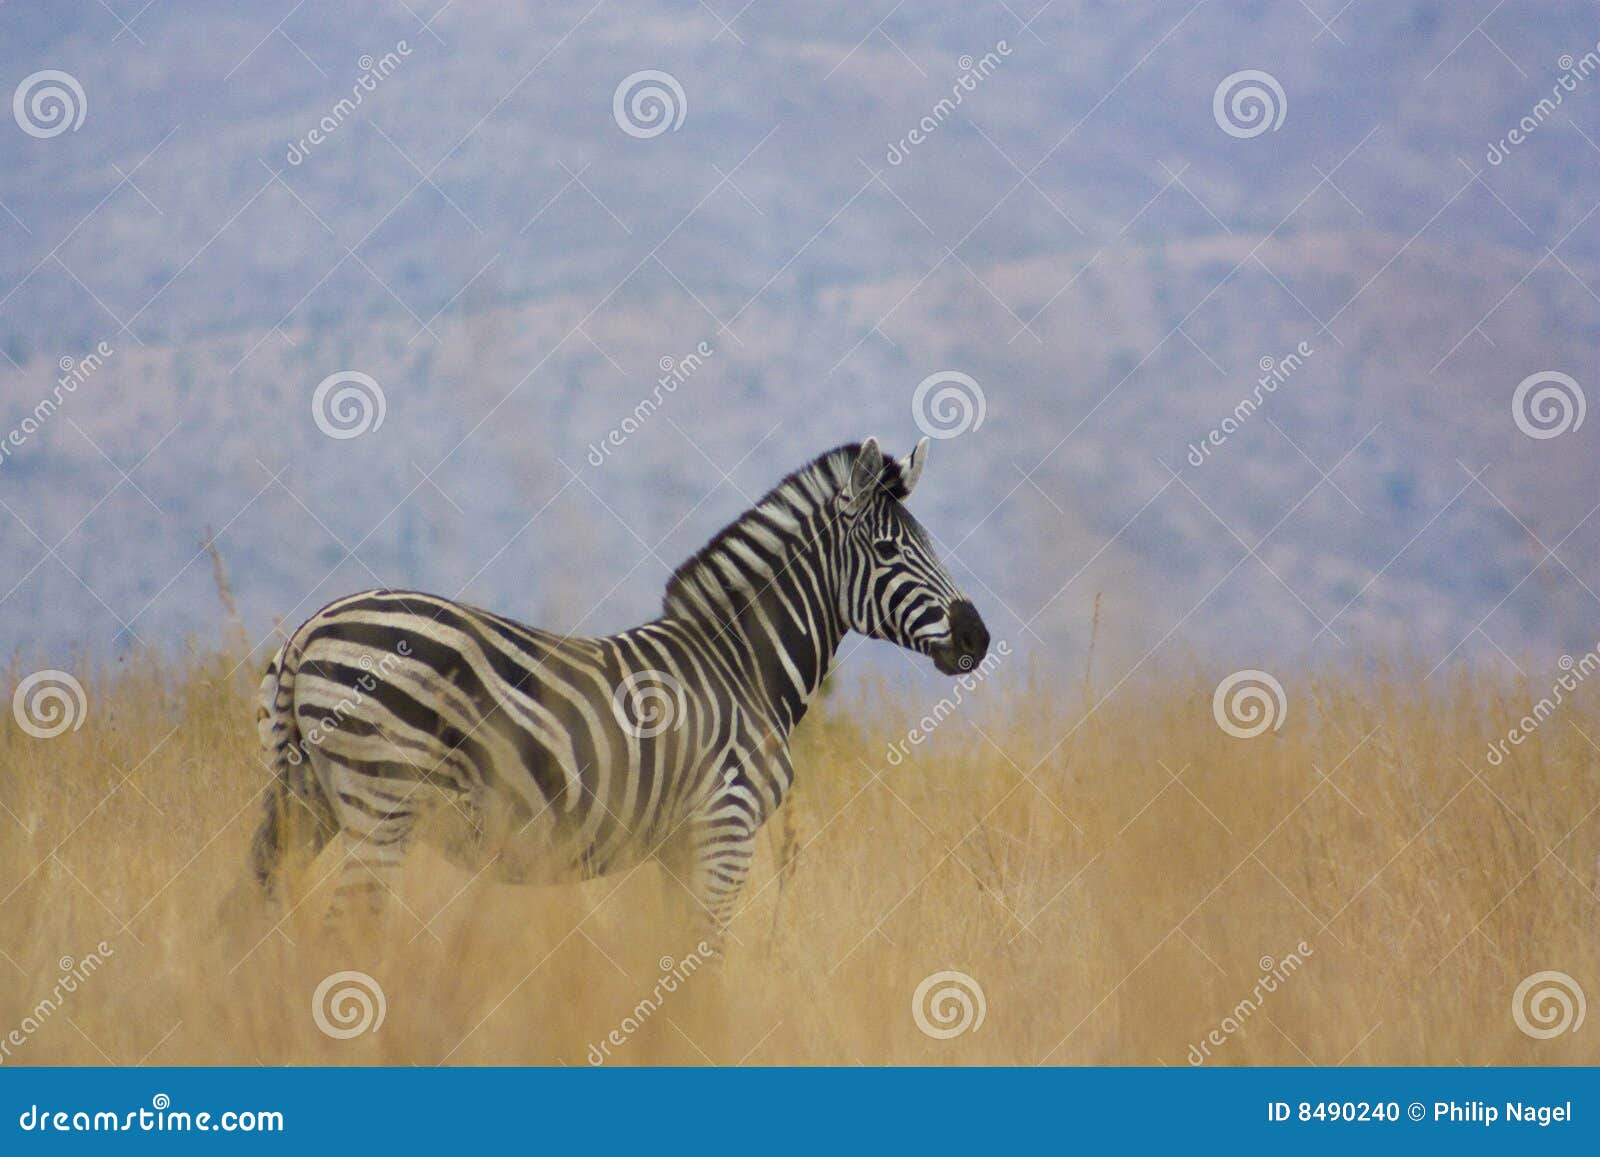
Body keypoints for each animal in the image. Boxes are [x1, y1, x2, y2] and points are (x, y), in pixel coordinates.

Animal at [251, 437, 990, 932]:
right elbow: (702, 964)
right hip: (381, 806)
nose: (977, 638)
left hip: (310, 800)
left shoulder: (677, 846)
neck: (742, 666)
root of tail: (308, 630)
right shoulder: (725, 827)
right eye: (891, 551)